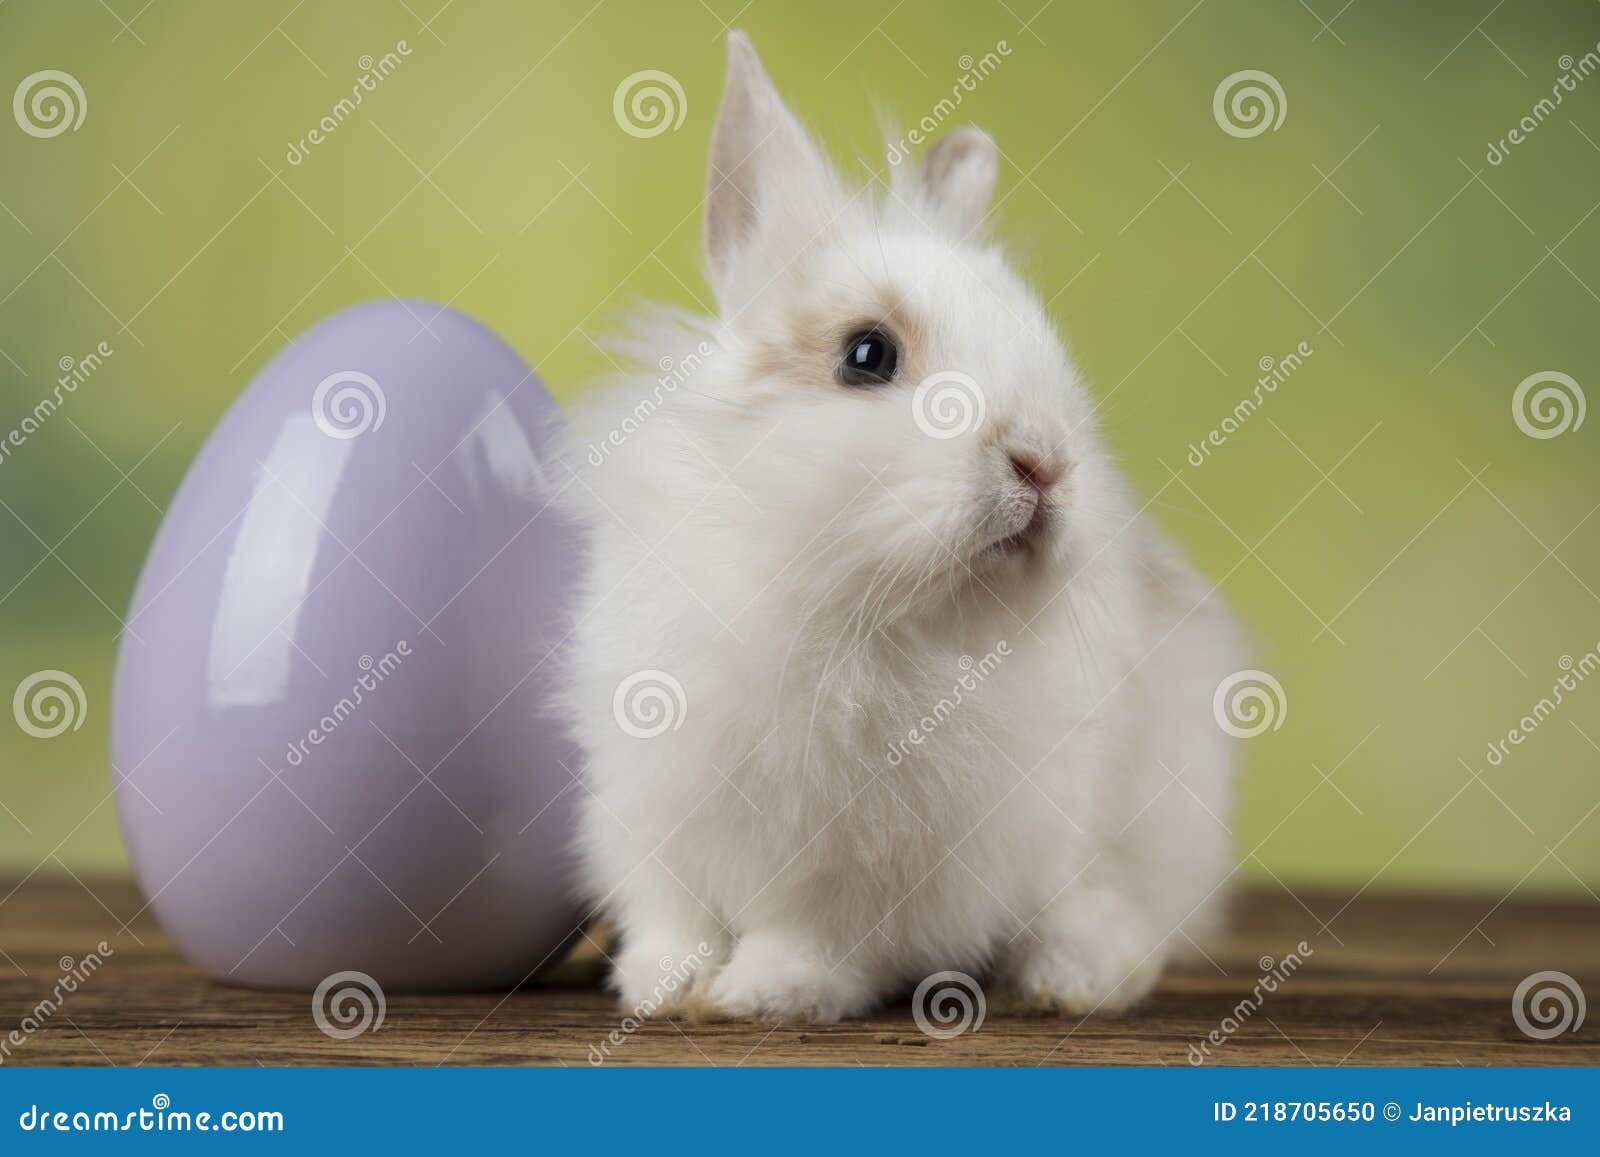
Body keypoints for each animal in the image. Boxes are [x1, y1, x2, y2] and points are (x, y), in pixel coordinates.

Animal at [554, 31, 1244, 1023]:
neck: (851, 609)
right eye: (867, 354)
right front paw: (666, 986)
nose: (1043, 463)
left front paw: (763, 992)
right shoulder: (655, 812)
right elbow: (675, 916)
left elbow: (820, 938)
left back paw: (1073, 973)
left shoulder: (880, 873)